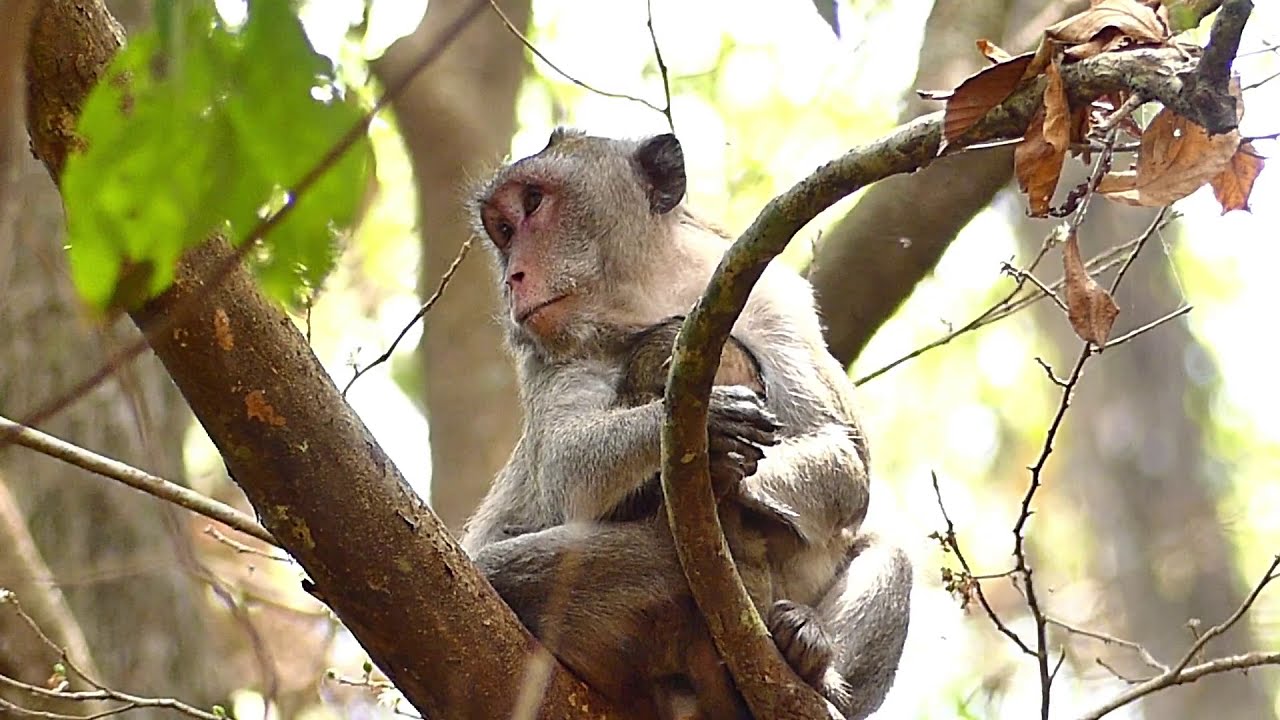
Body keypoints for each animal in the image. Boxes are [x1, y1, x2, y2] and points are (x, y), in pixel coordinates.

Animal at [463, 128, 912, 720]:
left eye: (533, 203)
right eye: (504, 230)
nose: (514, 277)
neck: (650, 295)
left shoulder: (772, 297)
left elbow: (844, 460)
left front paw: (735, 470)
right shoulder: (549, 354)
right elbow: (564, 465)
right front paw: (713, 432)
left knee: (891, 551)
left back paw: (809, 659)